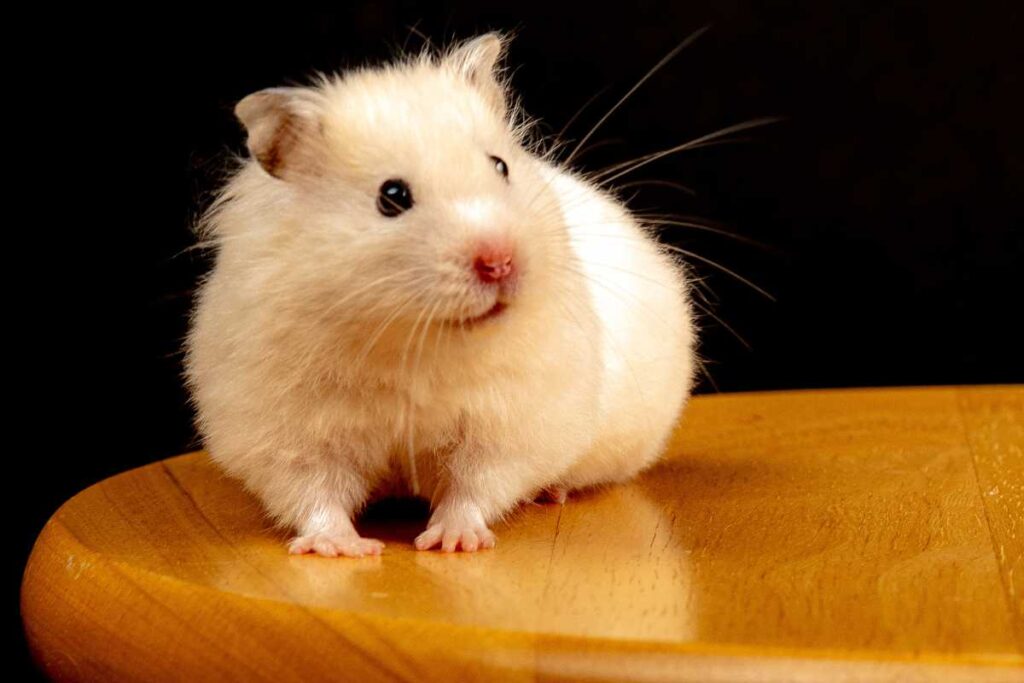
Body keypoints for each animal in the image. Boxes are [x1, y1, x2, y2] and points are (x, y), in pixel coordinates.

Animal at [185, 33, 696, 557]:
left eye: (500, 166)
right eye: (392, 197)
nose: (500, 262)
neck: (413, 339)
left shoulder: (507, 423)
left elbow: (475, 486)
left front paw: (452, 542)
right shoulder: (287, 432)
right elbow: (313, 492)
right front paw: (344, 548)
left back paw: (552, 492)